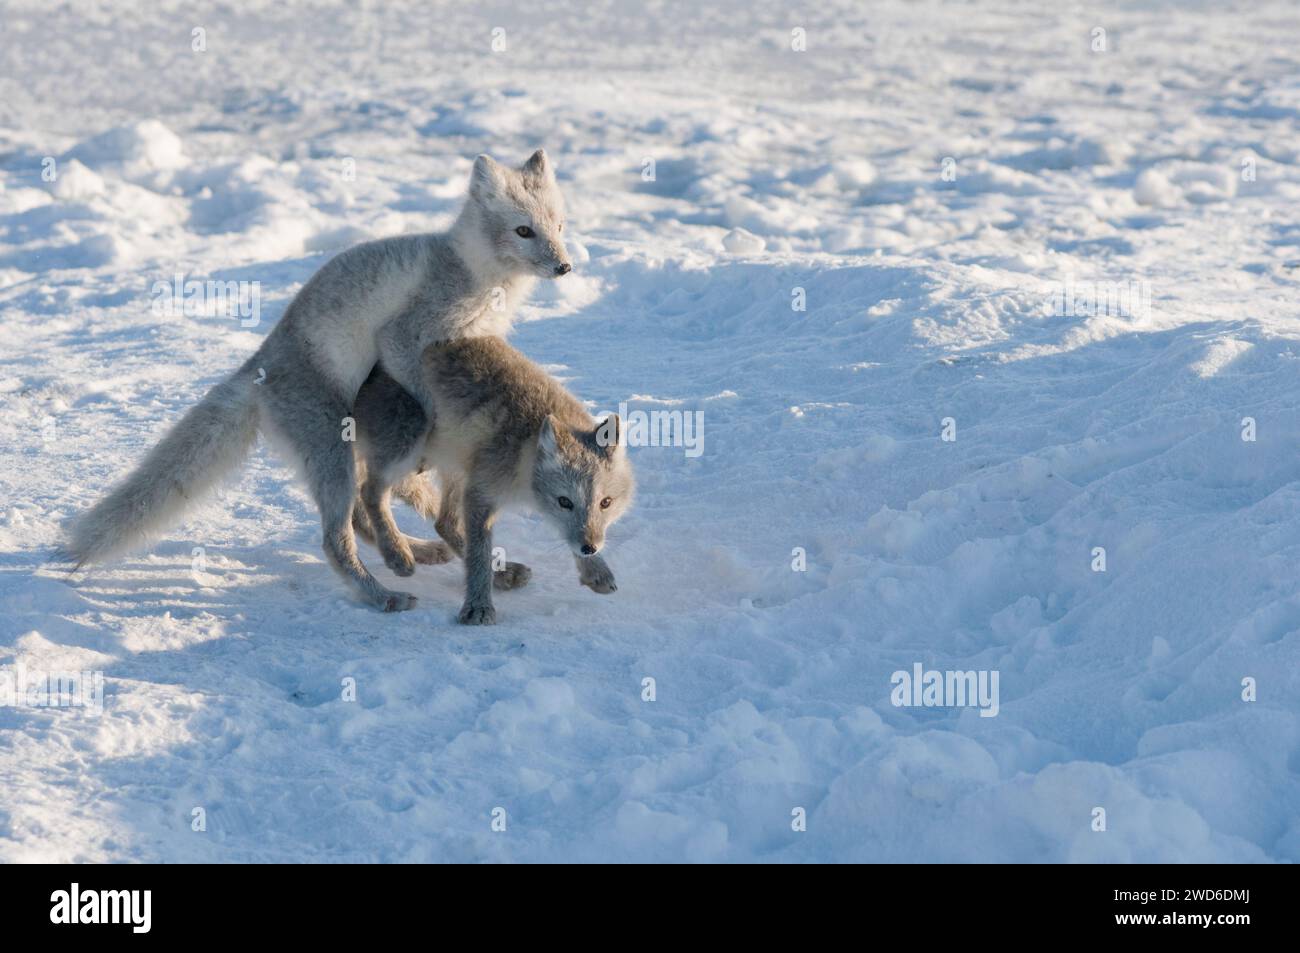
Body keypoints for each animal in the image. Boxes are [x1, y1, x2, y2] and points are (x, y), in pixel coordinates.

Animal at [63, 150, 571, 610]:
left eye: (560, 226)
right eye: (523, 231)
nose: (564, 267)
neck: (476, 273)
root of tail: (257, 368)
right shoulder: (404, 334)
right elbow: (419, 388)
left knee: (372, 511)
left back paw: (424, 553)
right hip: (332, 448)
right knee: (340, 533)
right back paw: (385, 589)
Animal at [350, 336, 634, 625]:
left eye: (606, 502)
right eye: (565, 501)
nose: (589, 548)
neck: (524, 449)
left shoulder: (477, 487)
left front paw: (596, 570)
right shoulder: (480, 494)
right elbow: (479, 556)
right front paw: (478, 606)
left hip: (455, 467)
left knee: (443, 523)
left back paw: (501, 571)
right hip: (409, 443)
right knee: (370, 492)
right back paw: (397, 552)